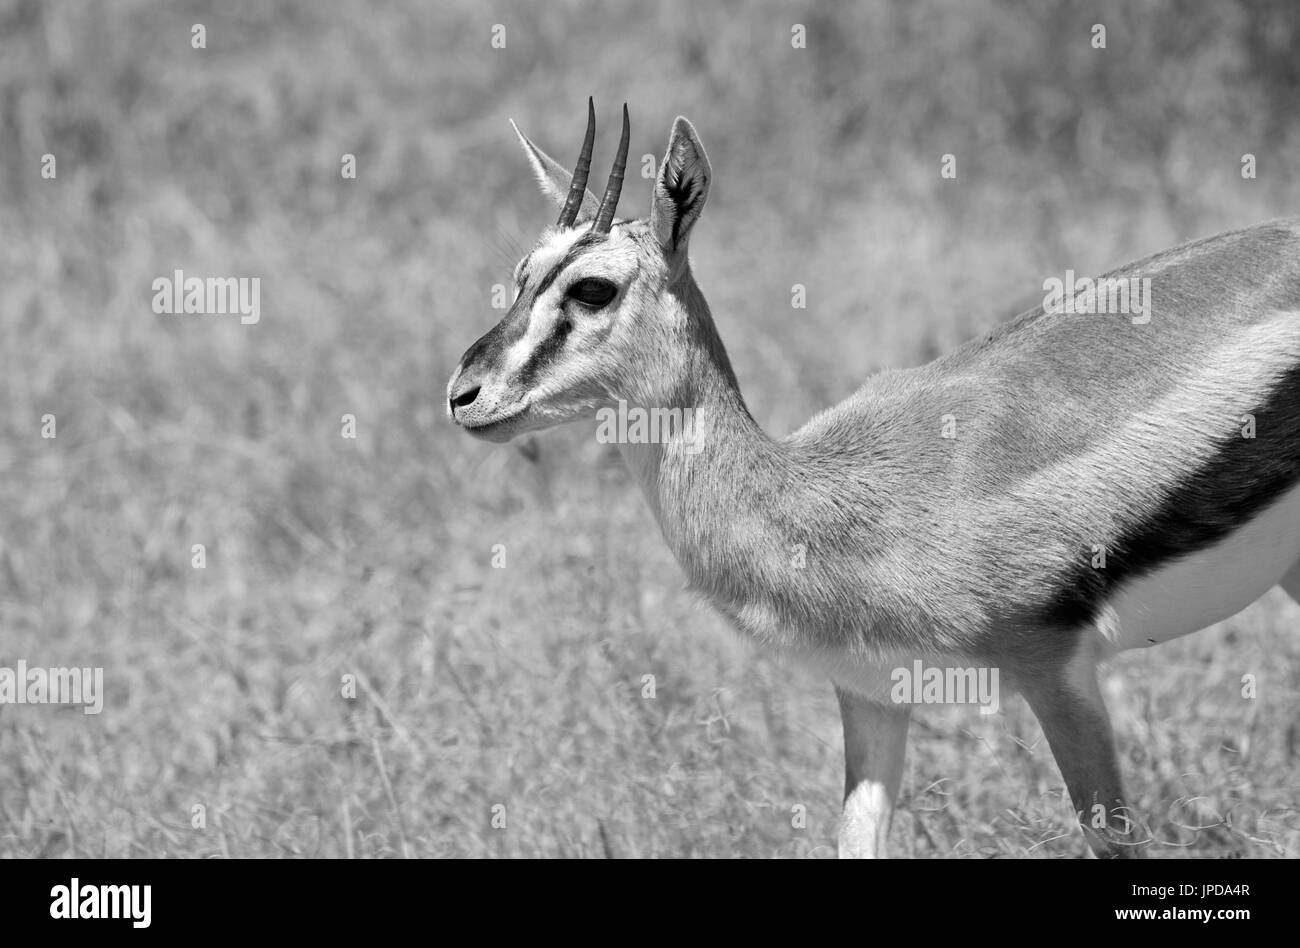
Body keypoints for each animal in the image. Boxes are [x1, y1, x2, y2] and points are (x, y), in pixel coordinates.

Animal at [446, 99, 1300, 858]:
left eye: (592, 288)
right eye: (522, 275)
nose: (464, 394)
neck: (818, 497)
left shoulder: (1055, 670)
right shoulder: (872, 695)